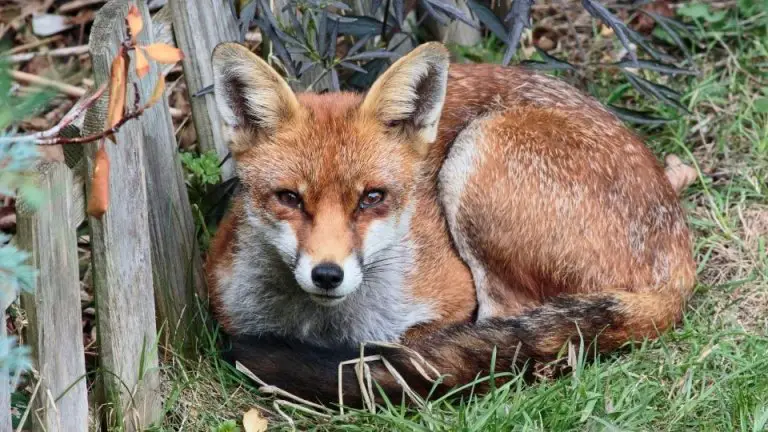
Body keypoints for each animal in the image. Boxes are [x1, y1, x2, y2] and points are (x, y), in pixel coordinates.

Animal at [205, 41, 696, 404]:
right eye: (289, 198)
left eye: (371, 198)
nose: (328, 274)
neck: (326, 330)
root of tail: (678, 271)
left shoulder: (451, 299)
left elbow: (425, 352)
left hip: (476, 155)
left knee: (504, 343)